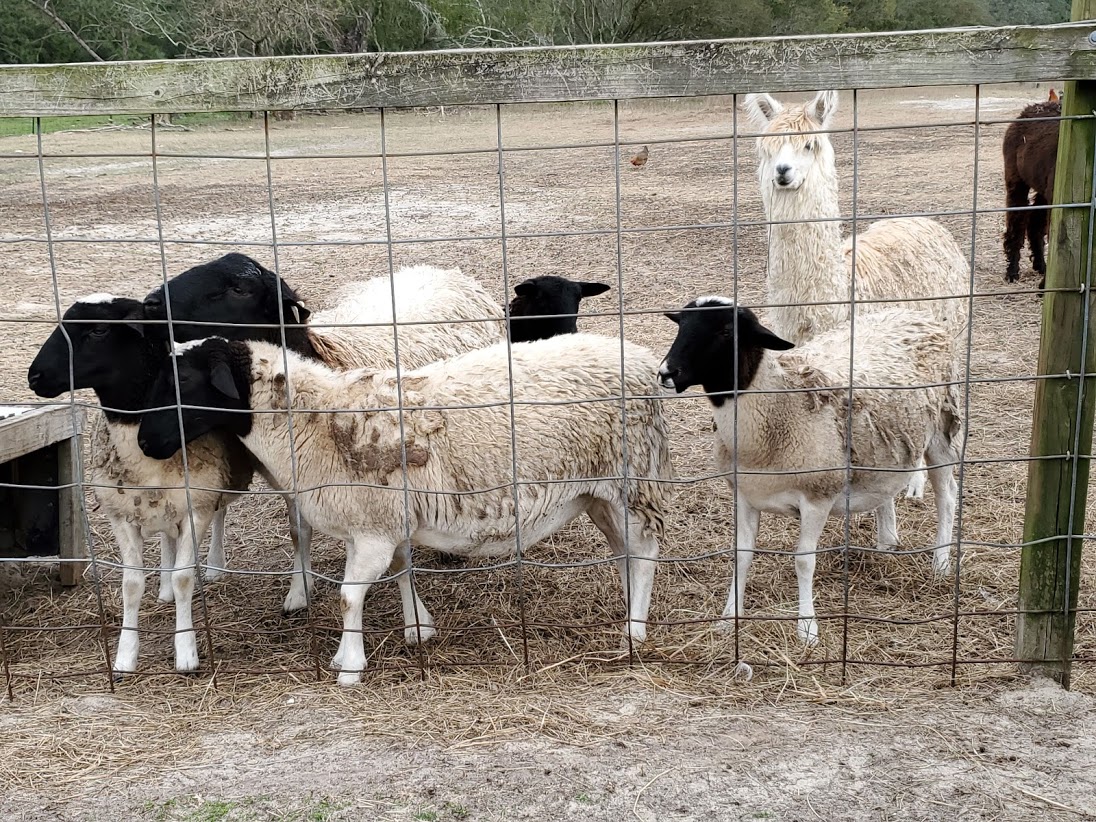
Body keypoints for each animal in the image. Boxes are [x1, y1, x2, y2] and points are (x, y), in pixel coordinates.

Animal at [26, 295, 254, 673]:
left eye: (99, 330)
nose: (35, 376)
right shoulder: (120, 515)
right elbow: (131, 585)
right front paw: (124, 656)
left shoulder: (196, 506)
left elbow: (184, 578)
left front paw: (186, 653)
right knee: (166, 537)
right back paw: (163, 586)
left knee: (219, 516)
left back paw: (214, 565)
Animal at [136, 333, 671, 685]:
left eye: (186, 379)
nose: (143, 441)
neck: (313, 423)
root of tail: (645, 361)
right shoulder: (385, 522)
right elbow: (399, 569)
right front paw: (416, 628)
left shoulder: (373, 529)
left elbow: (349, 597)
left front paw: (349, 665)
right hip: (599, 492)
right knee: (627, 554)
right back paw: (629, 615)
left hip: (633, 478)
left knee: (645, 554)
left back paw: (633, 634)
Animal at [658, 297, 961, 646]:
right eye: (681, 324)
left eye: (726, 331)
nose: (666, 372)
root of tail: (917, 315)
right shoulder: (746, 496)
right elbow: (742, 555)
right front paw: (728, 617)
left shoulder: (818, 498)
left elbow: (804, 561)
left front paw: (807, 629)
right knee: (888, 488)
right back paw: (886, 545)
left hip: (942, 429)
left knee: (947, 495)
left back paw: (940, 563)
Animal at [1003, 88, 1061, 289]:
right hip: (1016, 175)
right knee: (1017, 220)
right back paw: (1012, 272)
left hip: (1043, 185)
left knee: (1035, 221)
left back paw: (1041, 266)